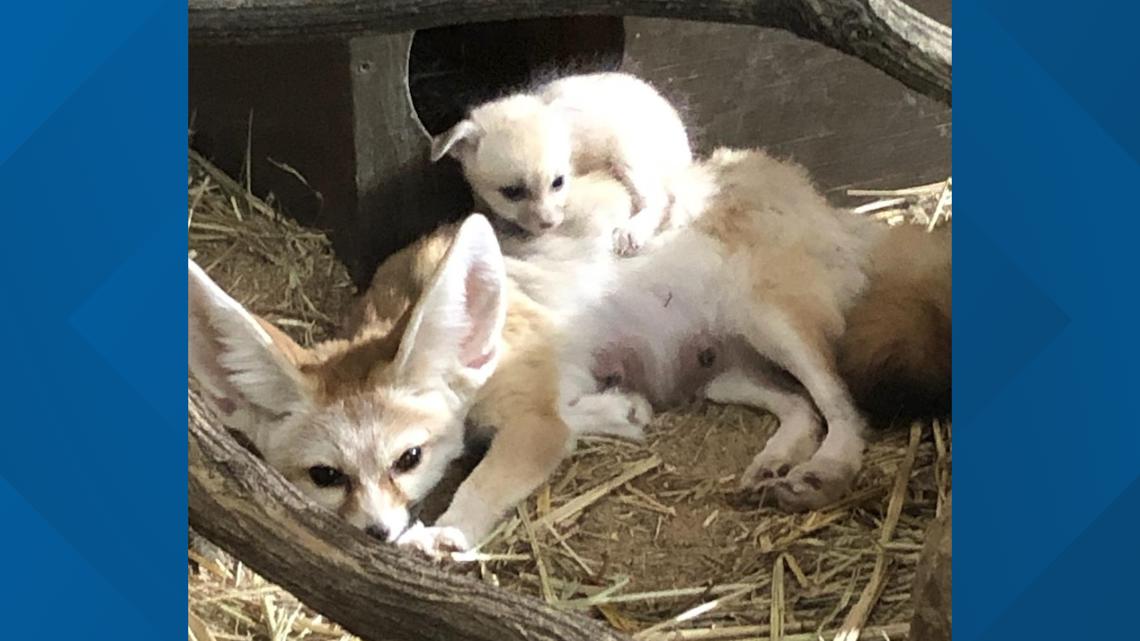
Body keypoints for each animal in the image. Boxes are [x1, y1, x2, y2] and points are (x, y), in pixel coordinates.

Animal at [430, 71, 694, 256]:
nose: (550, 224)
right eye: (512, 192)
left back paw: (632, 231)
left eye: (558, 182)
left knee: (659, 199)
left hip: (628, 154)